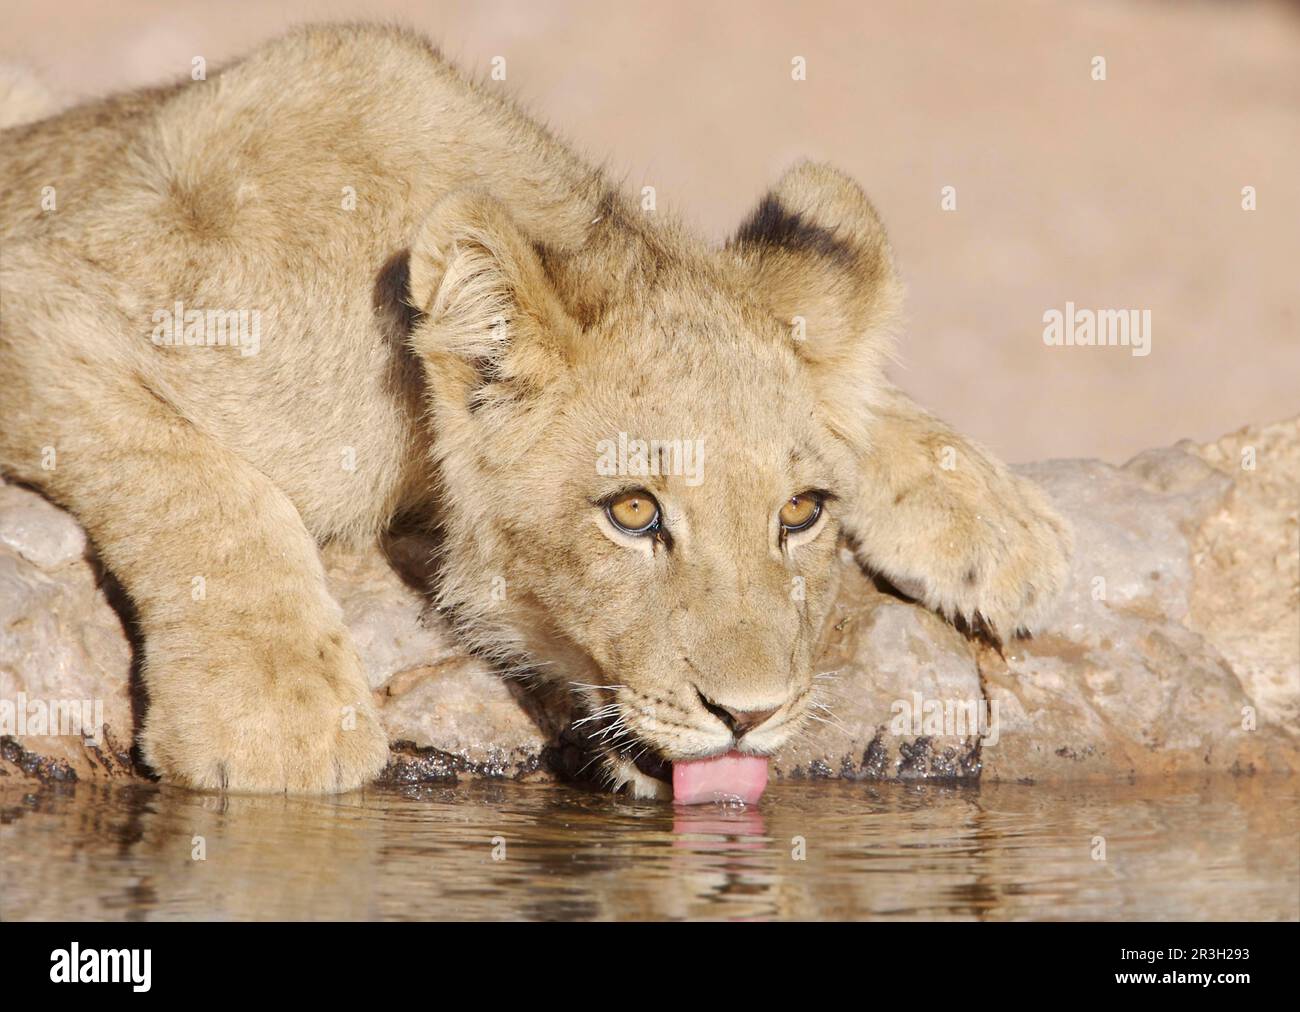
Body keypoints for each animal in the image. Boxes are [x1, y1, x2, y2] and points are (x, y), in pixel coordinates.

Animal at [0, 23, 1071, 800]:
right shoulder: (42, 290)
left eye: (801, 514)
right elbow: (202, 483)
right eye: (632, 512)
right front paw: (275, 715)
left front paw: (993, 515)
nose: (752, 716)